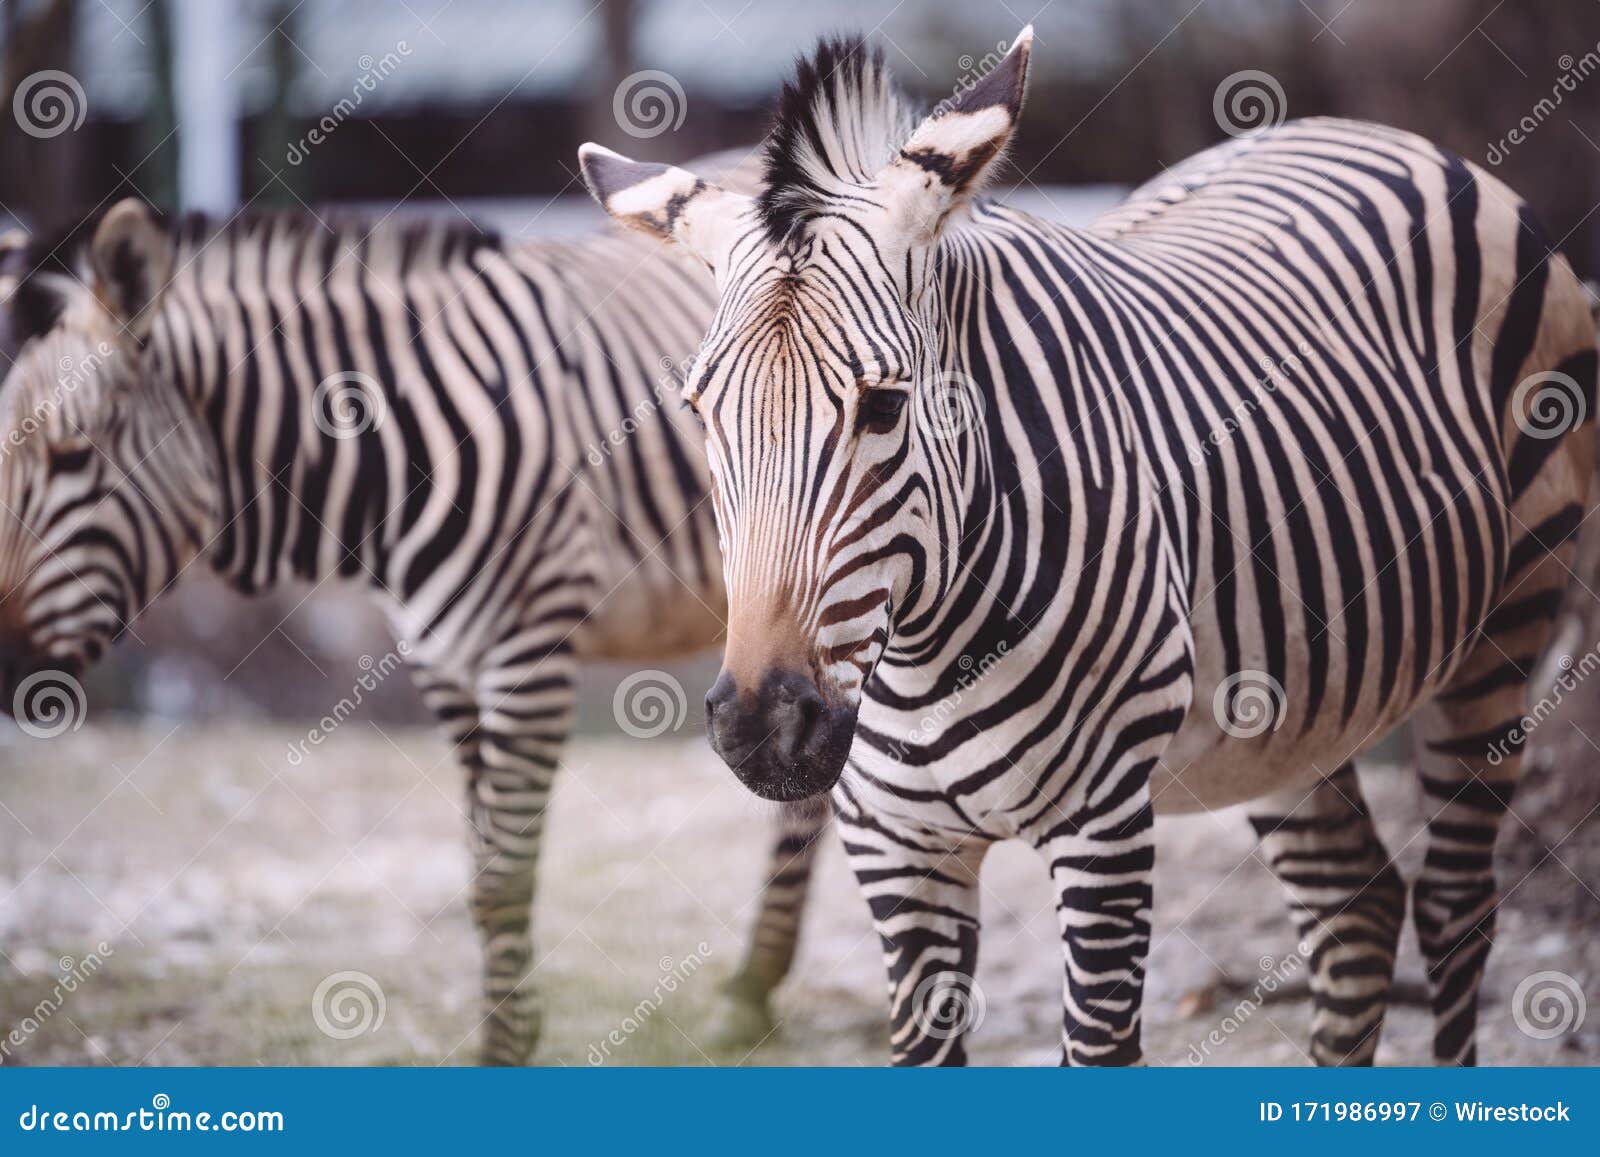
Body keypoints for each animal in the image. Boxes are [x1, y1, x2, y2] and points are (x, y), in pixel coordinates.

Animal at [0, 193, 825, 1063]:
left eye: (73, 455)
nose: (3, 669)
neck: (402, 448)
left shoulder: (527, 656)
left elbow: (504, 876)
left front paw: (507, 1050)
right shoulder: (443, 657)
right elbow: (479, 862)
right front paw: (503, 1037)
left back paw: (752, 989)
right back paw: (757, 985)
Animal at [579, 30, 1599, 1066]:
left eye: (884, 407)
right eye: (700, 411)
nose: (763, 727)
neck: (923, 657)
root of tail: (1374, 134)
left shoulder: (1103, 825)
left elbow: (1102, 1044)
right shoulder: (894, 847)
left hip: (1508, 625)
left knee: (1454, 905)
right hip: (1286, 716)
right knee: (1355, 905)